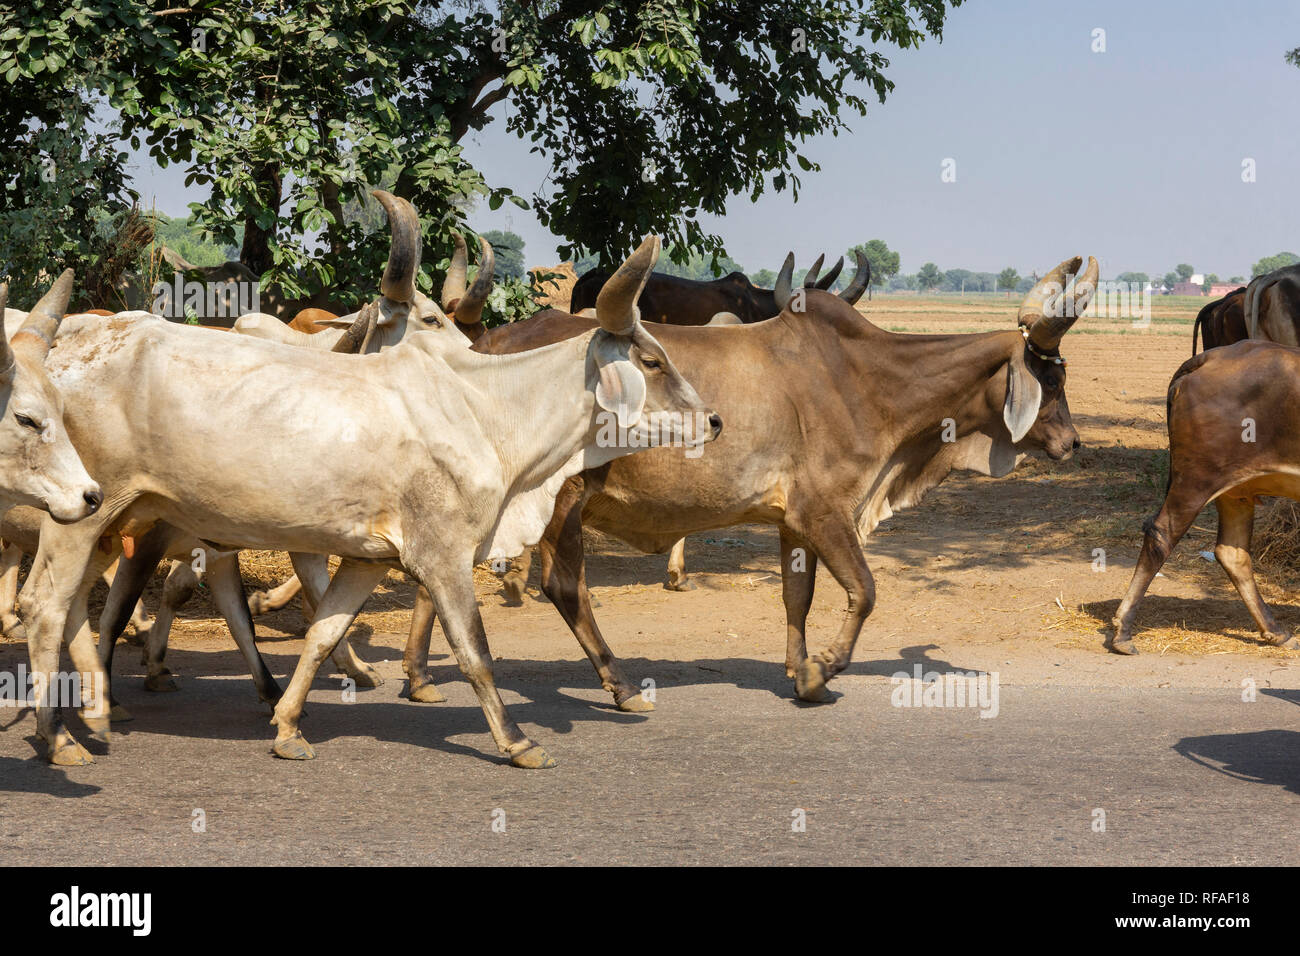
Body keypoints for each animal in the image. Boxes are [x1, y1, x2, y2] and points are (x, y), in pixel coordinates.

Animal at [19, 195, 720, 769]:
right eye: (652, 360)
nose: (714, 419)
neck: (485, 410)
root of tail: (60, 348)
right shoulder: (443, 556)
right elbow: (474, 651)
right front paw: (518, 741)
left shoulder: (366, 558)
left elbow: (323, 633)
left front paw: (288, 726)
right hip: (85, 514)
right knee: (46, 608)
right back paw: (59, 738)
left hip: (121, 522)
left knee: (87, 606)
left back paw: (92, 710)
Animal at [1110, 340, 1300, 654]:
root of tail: (1212, 355)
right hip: (1196, 479)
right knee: (1161, 535)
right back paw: (1123, 631)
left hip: (1235, 490)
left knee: (1233, 553)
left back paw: (1275, 631)